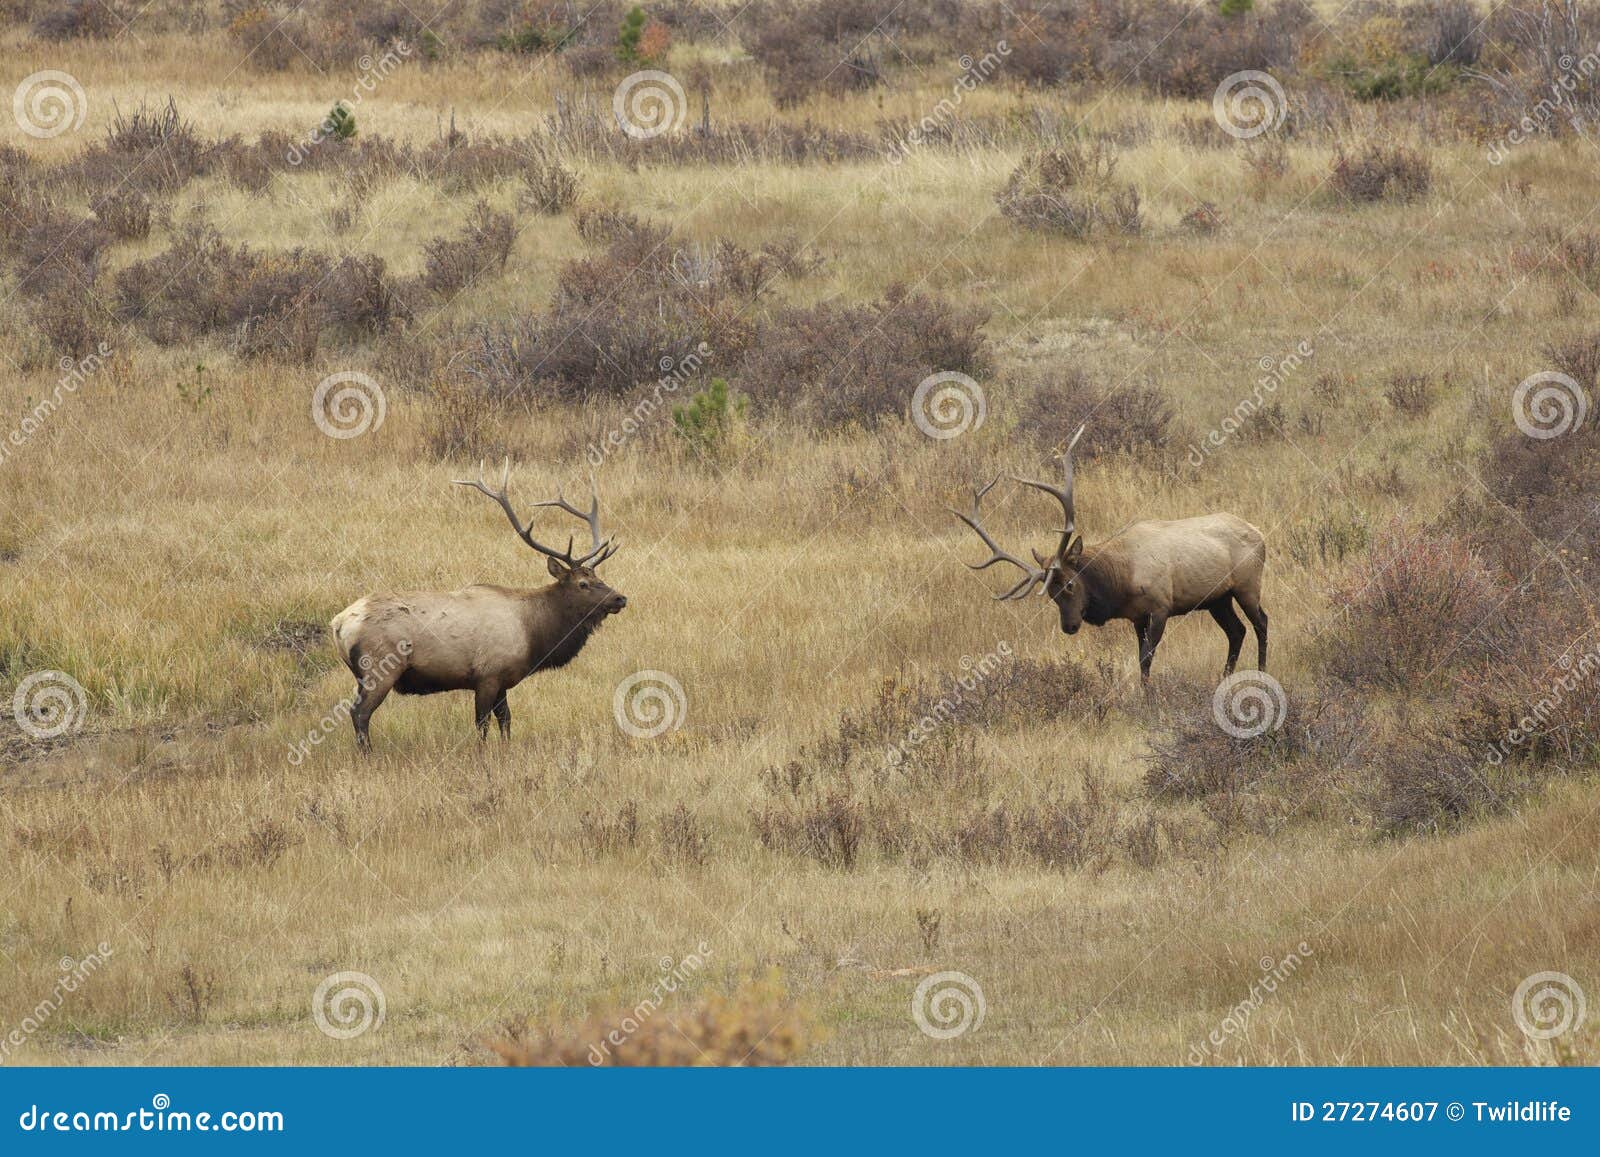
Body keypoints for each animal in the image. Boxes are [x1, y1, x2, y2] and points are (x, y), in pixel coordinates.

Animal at [330, 461, 628, 749]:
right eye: (582, 584)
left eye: (598, 577)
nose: (620, 598)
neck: (533, 633)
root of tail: (339, 623)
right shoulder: (487, 675)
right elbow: (482, 723)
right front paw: (483, 754)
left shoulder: (503, 680)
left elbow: (506, 719)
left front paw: (506, 749)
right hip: (379, 669)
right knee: (360, 713)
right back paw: (367, 754)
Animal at [953, 426, 1267, 686]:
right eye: (1051, 594)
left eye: (1070, 584)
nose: (1069, 626)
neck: (1122, 580)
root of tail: (1259, 533)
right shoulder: (1137, 617)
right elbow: (1141, 661)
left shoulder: (1161, 607)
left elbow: (1147, 658)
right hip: (1218, 598)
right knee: (1236, 631)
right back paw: (1225, 678)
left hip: (1247, 585)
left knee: (1260, 622)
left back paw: (1262, 672)